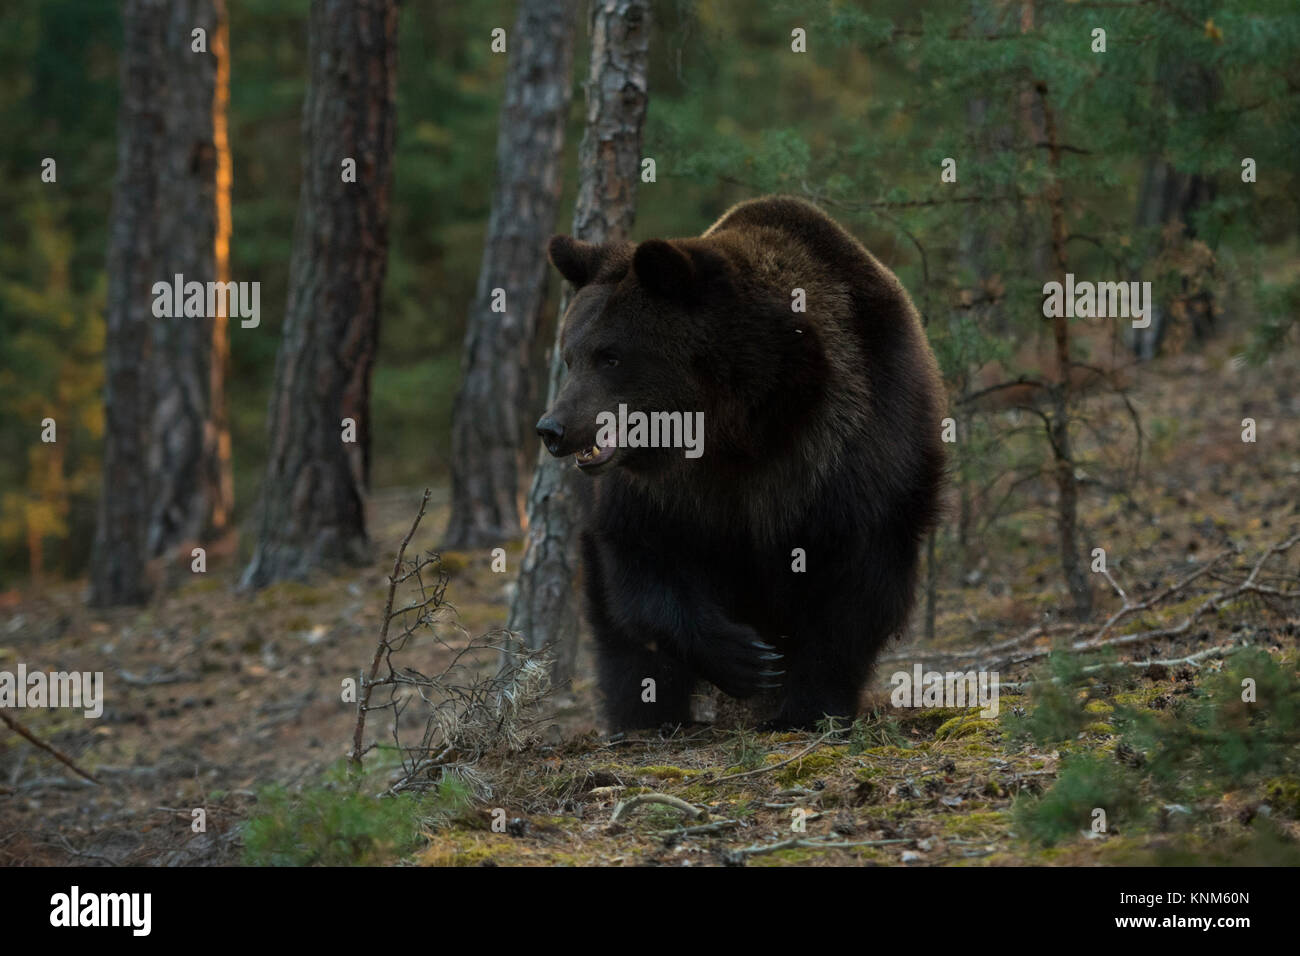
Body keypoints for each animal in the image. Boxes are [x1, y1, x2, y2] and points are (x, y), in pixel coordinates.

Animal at [537, 195, 946, 730]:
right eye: (570, 356)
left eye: (611, 356)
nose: (553, 428)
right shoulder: (658, 492)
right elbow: (643, 569)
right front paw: (745, 658)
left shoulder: (848, 450)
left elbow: (854, 586)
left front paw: (809, 706)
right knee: (618, 631)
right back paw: (644, 717)